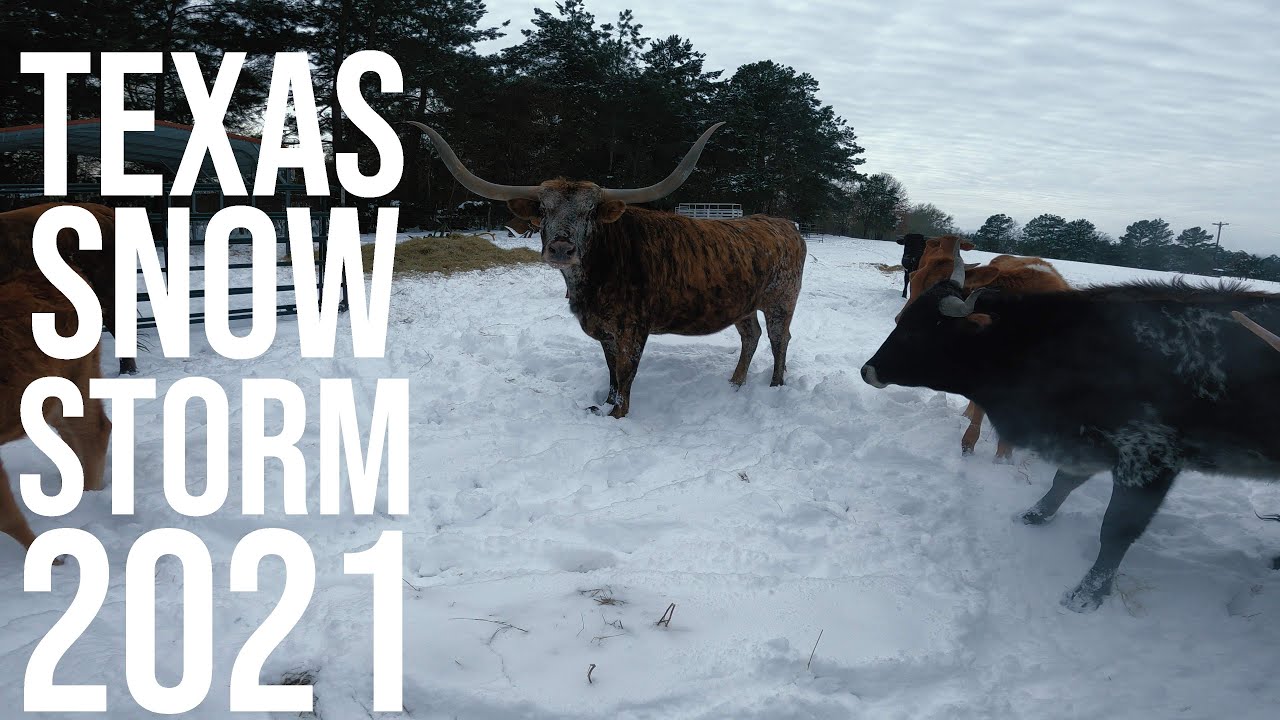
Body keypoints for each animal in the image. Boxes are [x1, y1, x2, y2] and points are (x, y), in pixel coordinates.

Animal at [409, 121, 807, 419]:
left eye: (589, 212)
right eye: (544, 210)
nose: (561, 248)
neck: (595, 278)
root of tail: (785, 224)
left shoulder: (633, 329)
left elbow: (627, 373)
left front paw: (617, 414)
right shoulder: (605, 332)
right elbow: (613, 372)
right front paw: (603, 404)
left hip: (781, 301)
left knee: (779, 338)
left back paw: (775, 386)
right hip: (743, 304)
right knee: (750, 336)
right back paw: (735, 383)